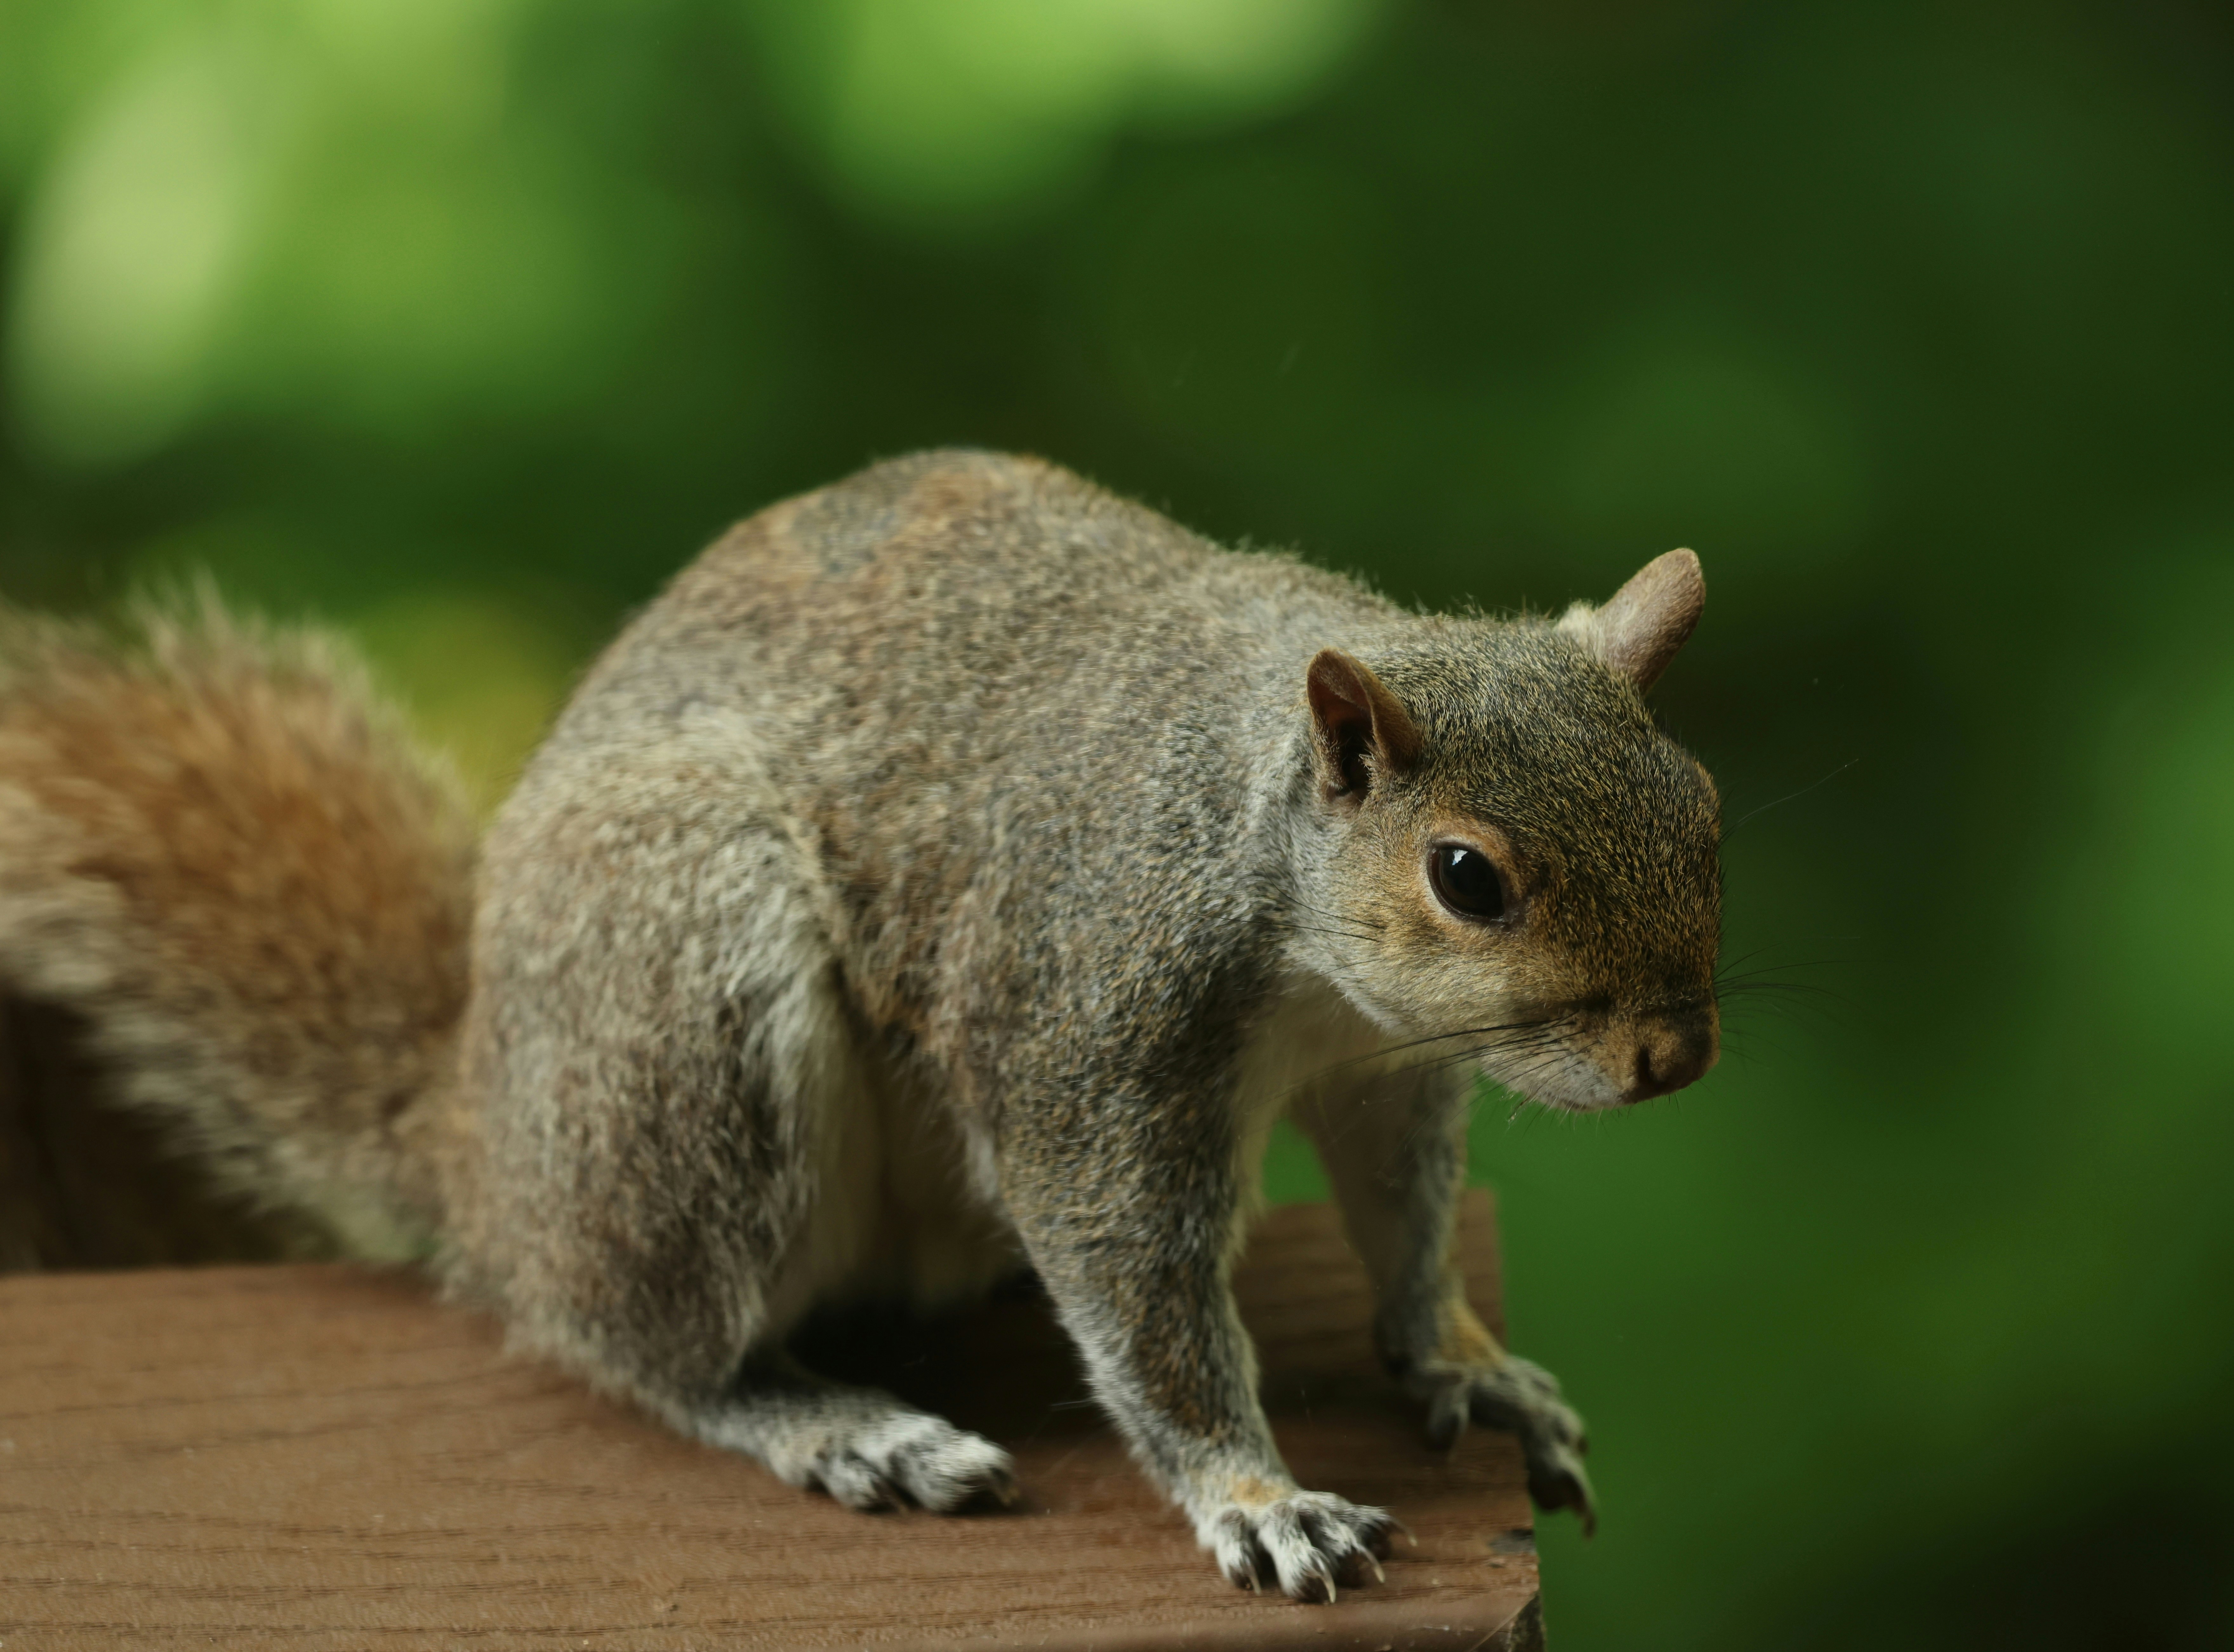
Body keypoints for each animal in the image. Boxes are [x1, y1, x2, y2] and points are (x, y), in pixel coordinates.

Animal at [0, 450, 1720, 1602]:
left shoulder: (1380, 1070)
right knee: (633, 1339)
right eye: (1465, 876)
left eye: (1702, 808)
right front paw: (1258, 1496)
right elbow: (1141, 1296)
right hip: (687, 1015)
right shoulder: (1084, 1022)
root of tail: (486, 1156)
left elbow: (1405, 1221)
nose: (1677, 1059)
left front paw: (1463, 1360)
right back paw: (835, 1426)